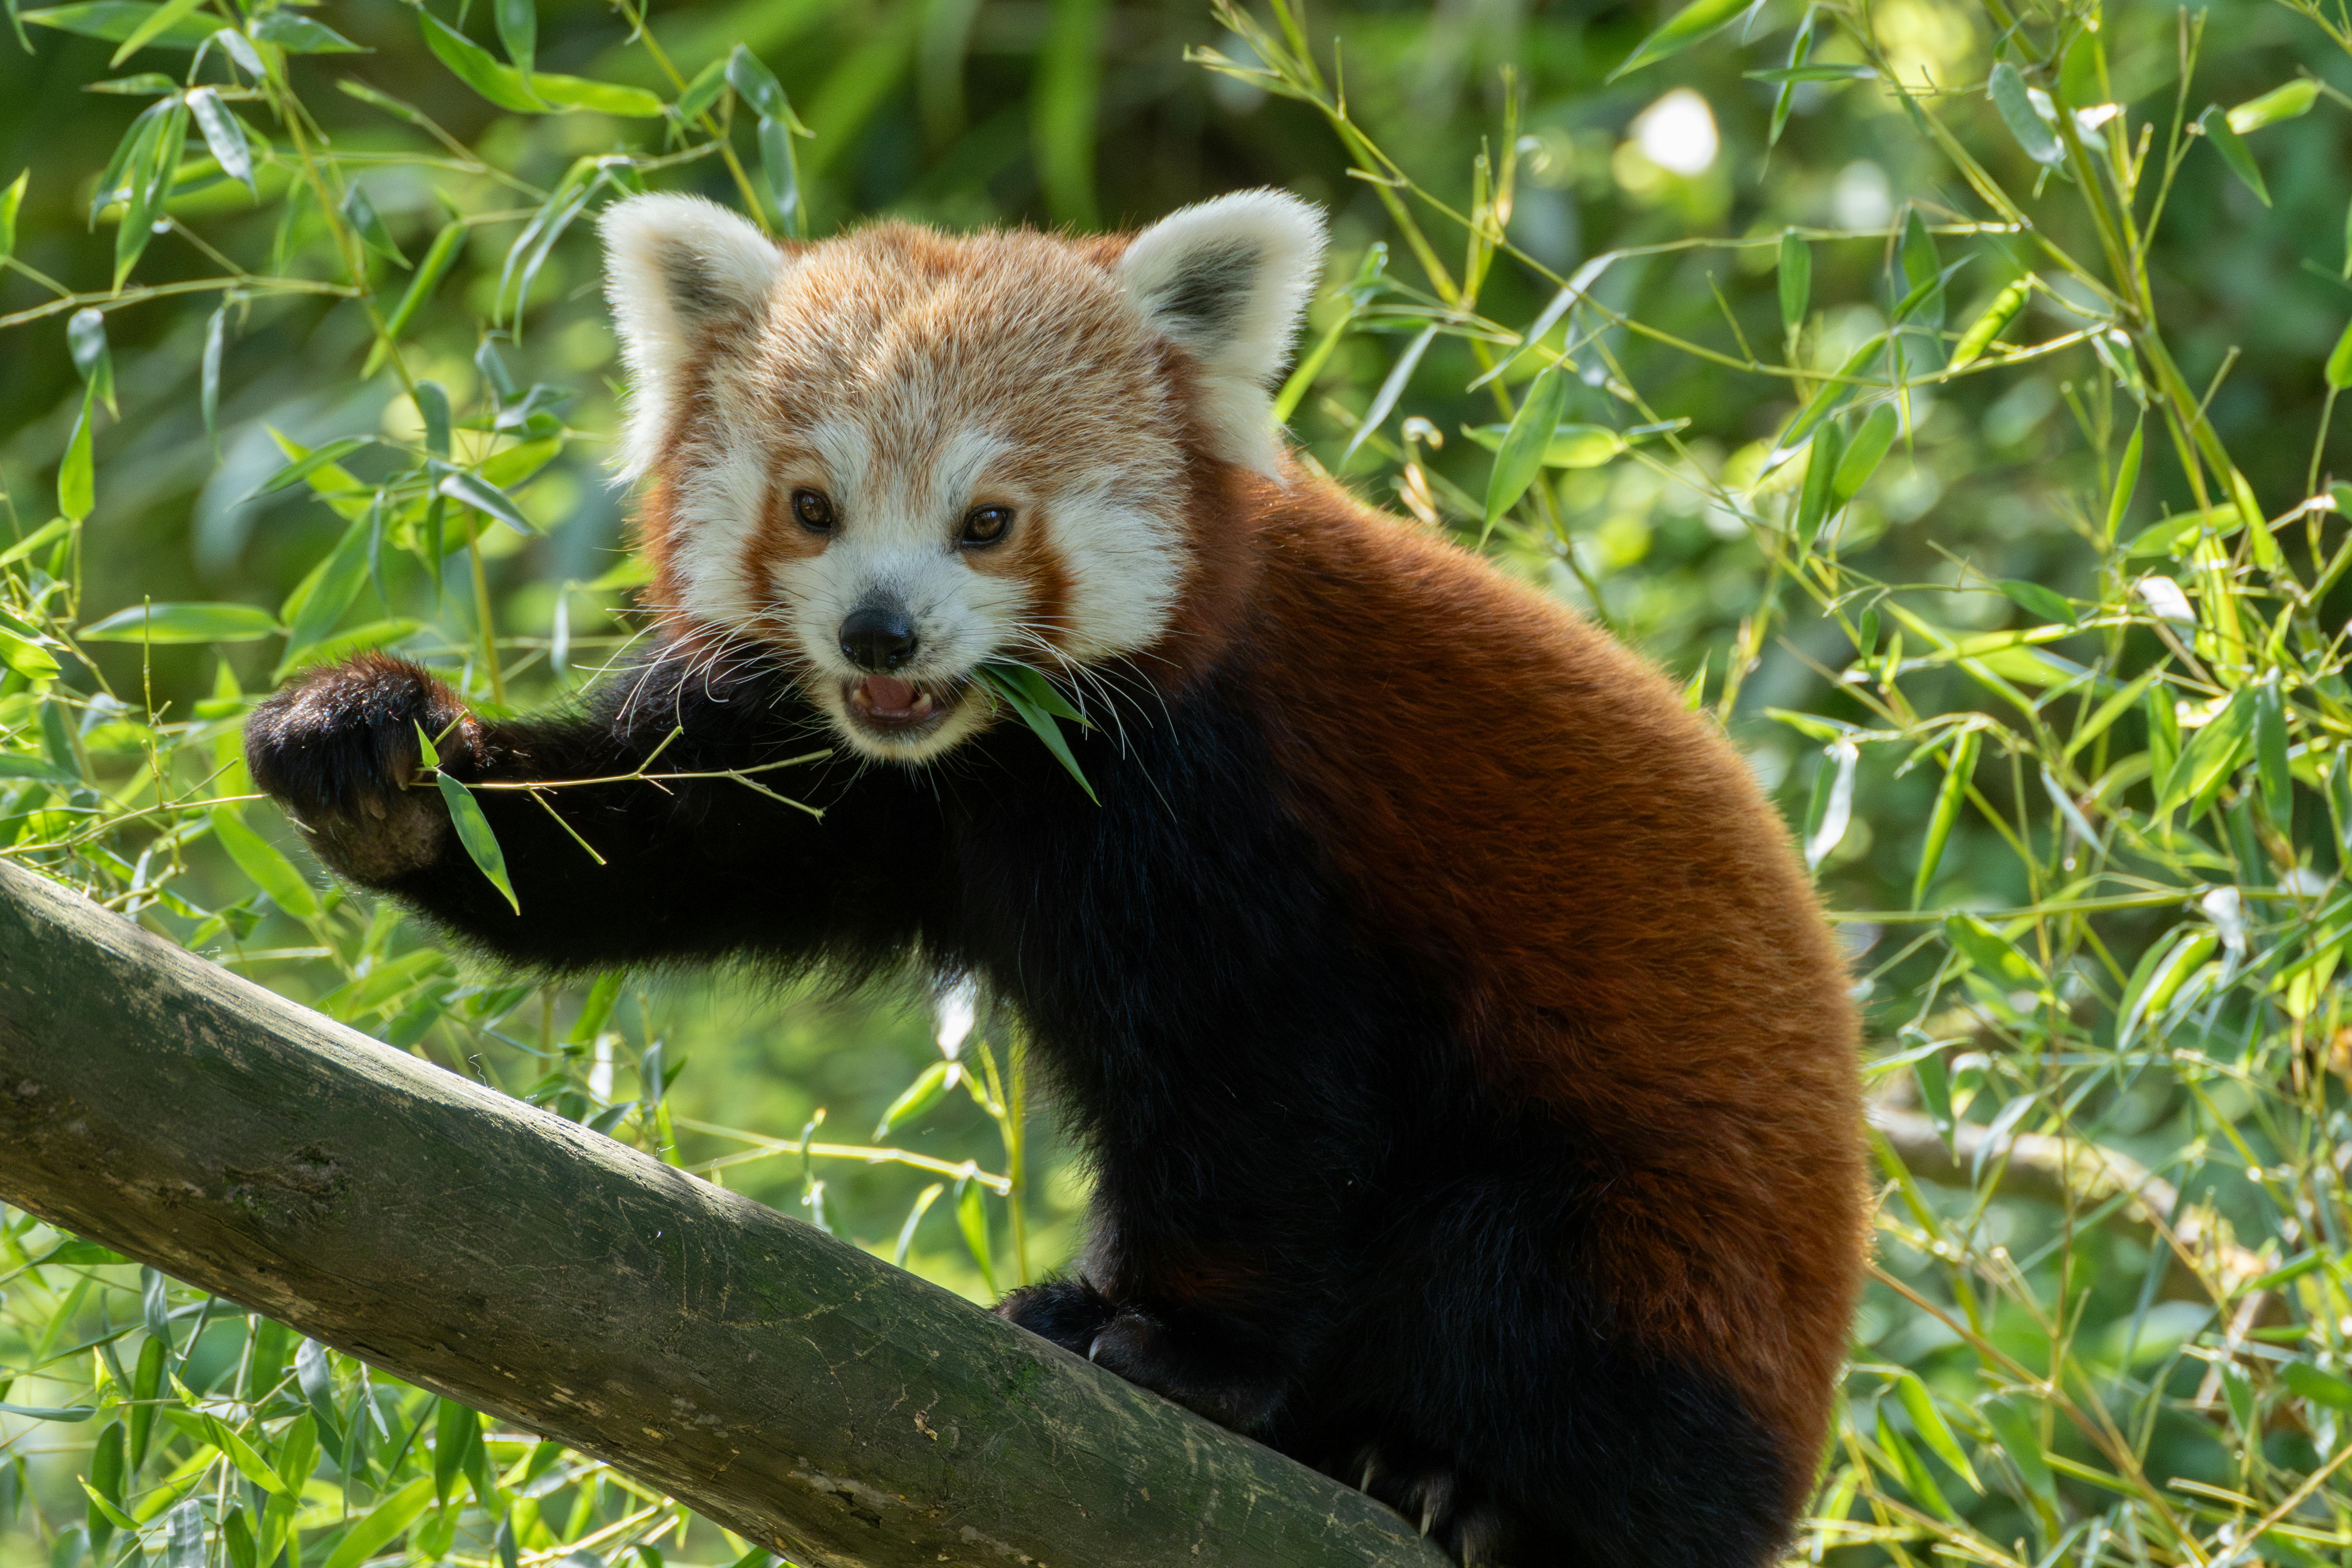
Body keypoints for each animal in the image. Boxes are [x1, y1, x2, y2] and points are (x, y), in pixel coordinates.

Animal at [246, 188, 1866, 1567]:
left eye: (988, 521)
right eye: (814, 506)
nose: (882, 632)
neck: (989, 754)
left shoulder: (1228, 806)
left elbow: (1261, 1095)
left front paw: (1175, 1343)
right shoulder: (845, 772)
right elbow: (644, 850)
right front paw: (382, 759)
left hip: (1664, 1255)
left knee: (1513, 1285)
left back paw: (1464, 1487)